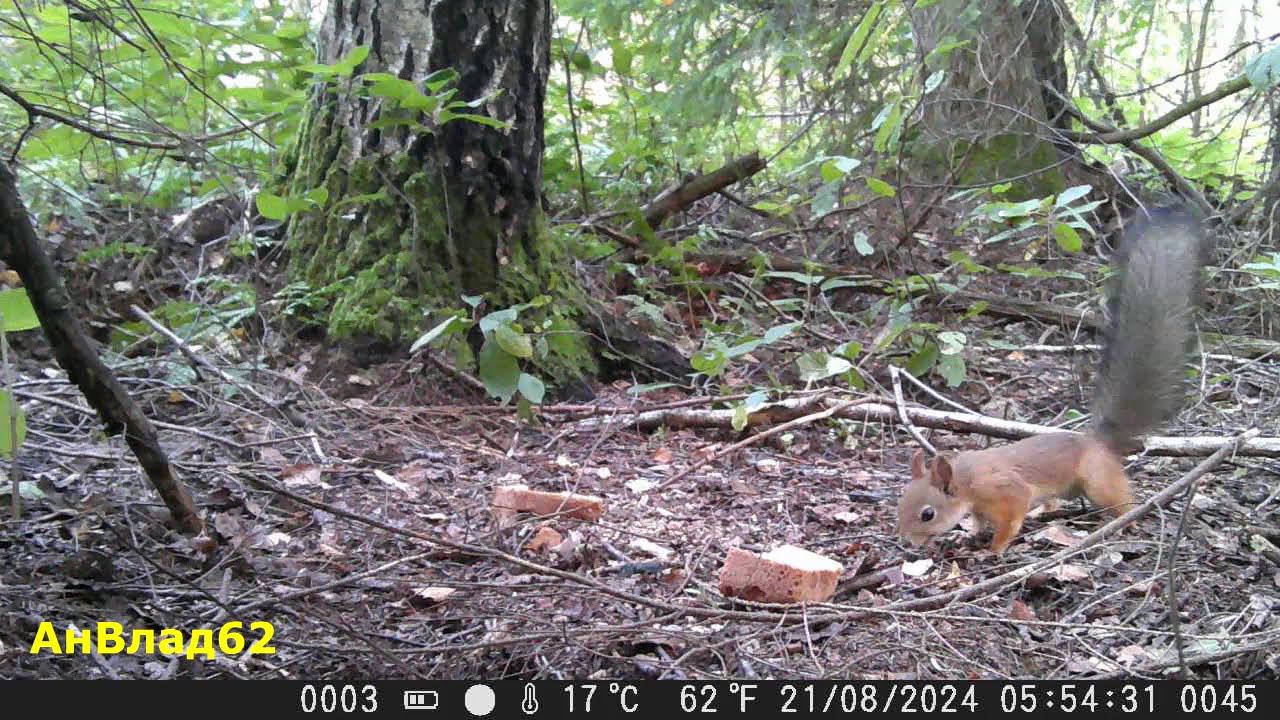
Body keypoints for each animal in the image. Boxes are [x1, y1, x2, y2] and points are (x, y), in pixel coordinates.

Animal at [896, 205, 1209, 555]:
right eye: (900, 503)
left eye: (927, 514)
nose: (905, 541)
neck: (967, 482)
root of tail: (1097, 443)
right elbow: (977, 520)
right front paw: (970, 534)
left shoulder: (1006, 490)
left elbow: (1010, 520)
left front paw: (995, 548)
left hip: (1098, 481)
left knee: (1122, 500)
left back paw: (1126, 521)